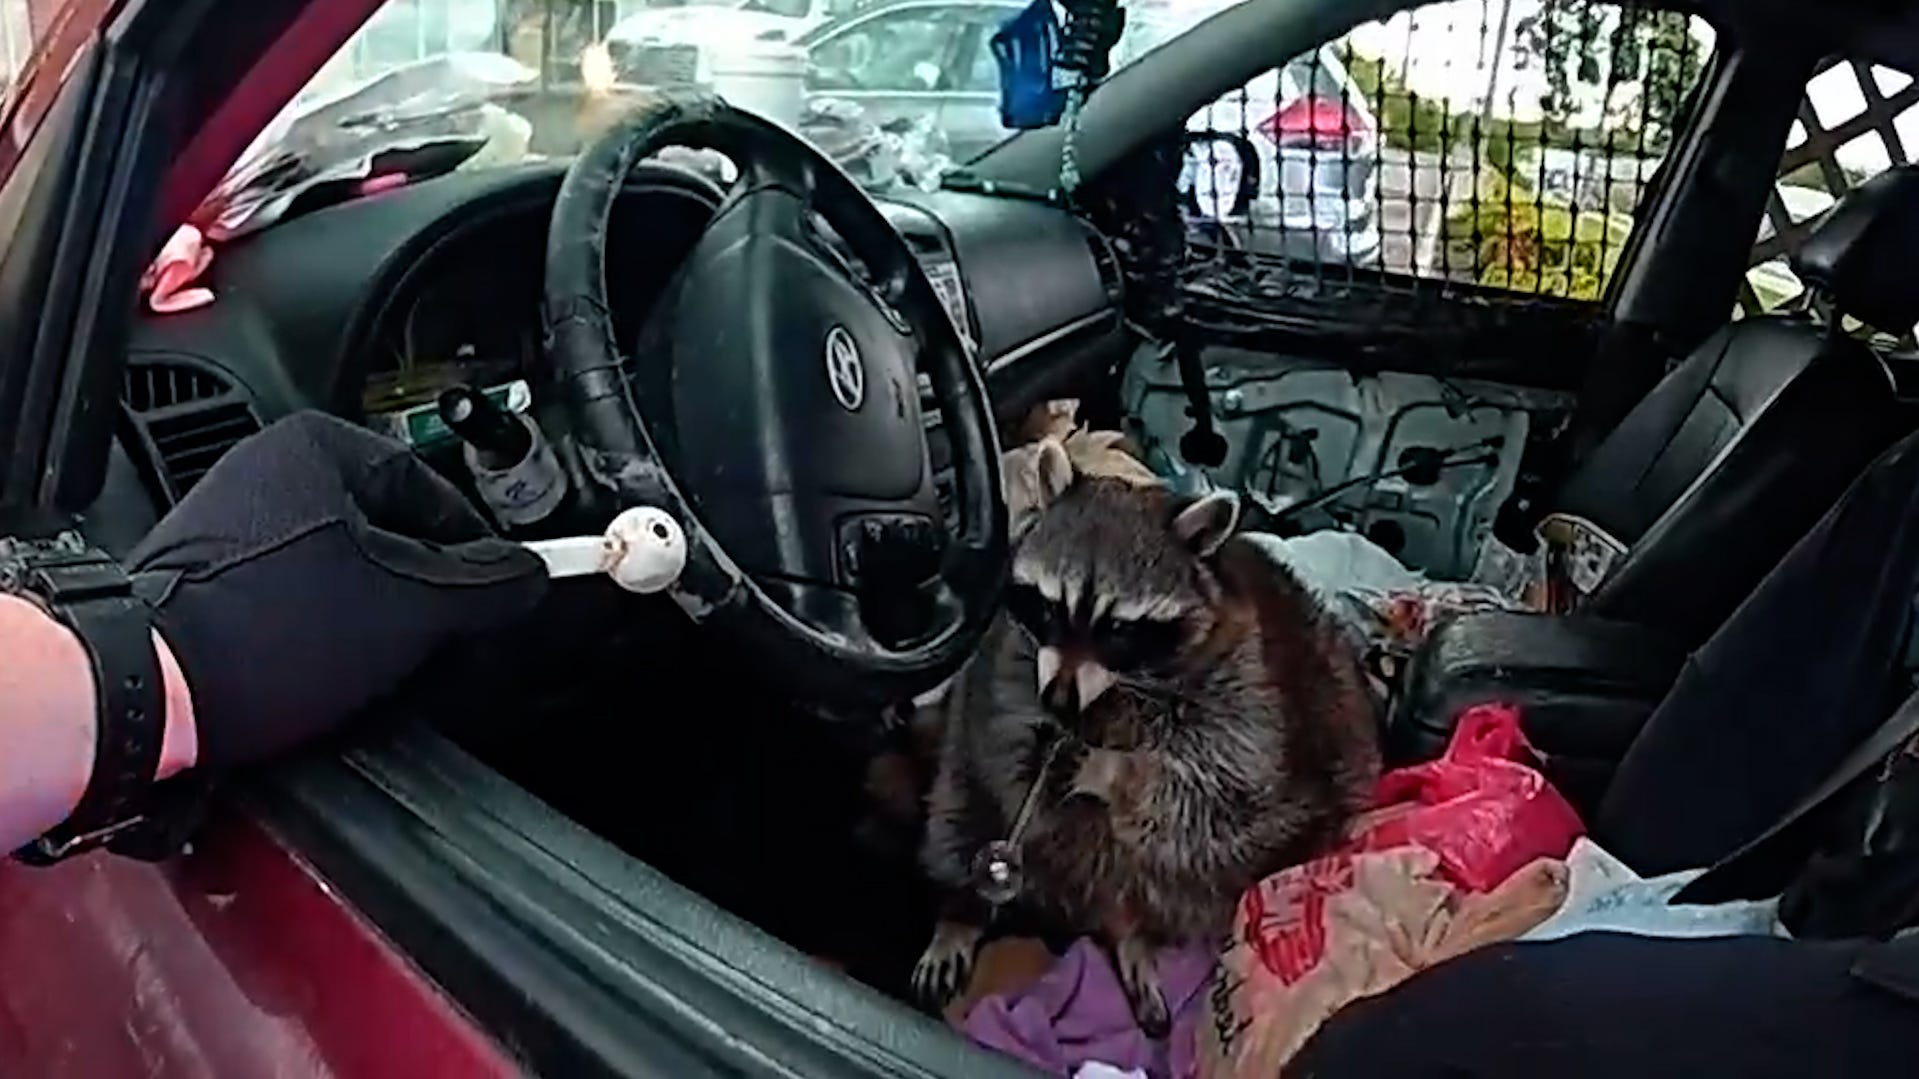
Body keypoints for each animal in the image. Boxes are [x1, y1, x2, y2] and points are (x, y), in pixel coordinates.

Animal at [914, 444, 1380, 1035]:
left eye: (1118, 628)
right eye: (1049, 607)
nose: (1059, 702)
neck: (1115, 692)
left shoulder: (1246, 685)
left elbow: (1219, 788)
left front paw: (1111, 770)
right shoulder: (1009, 660)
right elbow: (1002, 729)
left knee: (1189, 863)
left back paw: (1132, 932)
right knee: (959, 807)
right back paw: (963, 909)